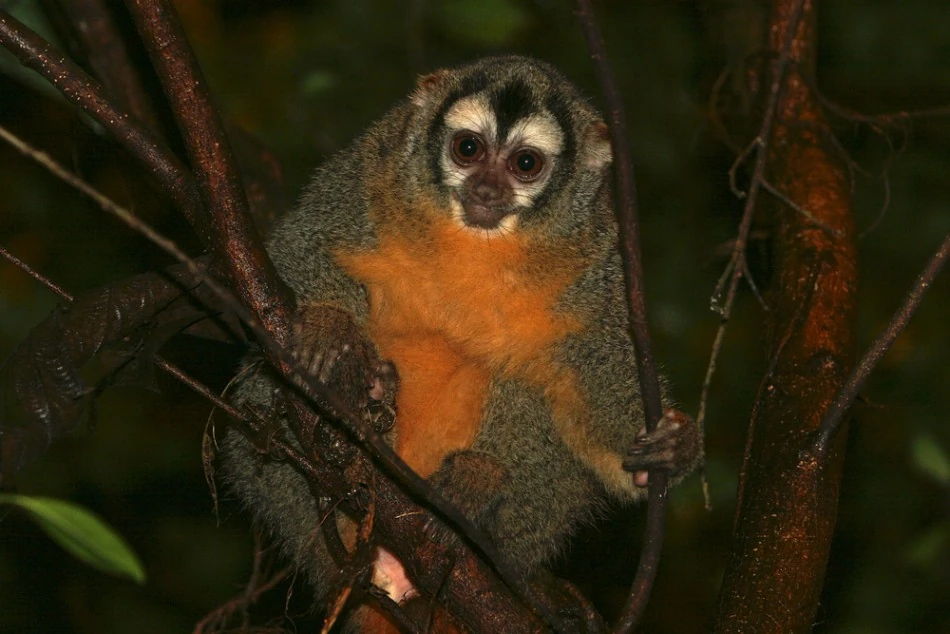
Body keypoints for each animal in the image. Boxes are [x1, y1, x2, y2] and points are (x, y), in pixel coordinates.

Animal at [220, 55, 702, 632]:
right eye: (468, 149)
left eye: (524, 163)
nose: (487, 189)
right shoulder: (370, 172)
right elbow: (304, 244)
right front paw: (330, 328)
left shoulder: (597, 253)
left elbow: (592, 352)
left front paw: (669, 450)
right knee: (262, 392)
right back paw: (358, 408)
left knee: (534, 381)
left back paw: (474, 486)